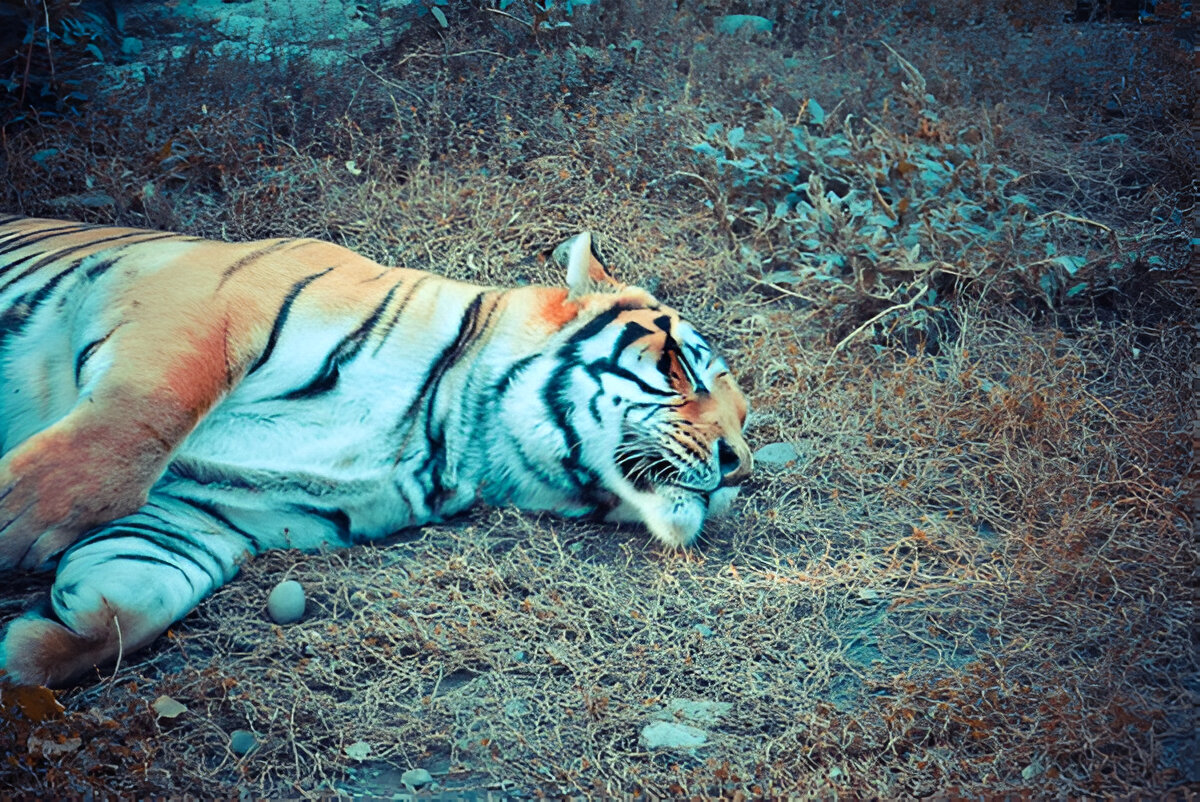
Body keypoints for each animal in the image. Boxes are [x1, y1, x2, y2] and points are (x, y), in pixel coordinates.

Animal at [0, 216, 752, 687]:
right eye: (680, 366)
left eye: (745, 417)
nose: (739, 466)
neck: (454, 437)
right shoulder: (209, 306)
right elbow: (138, 419)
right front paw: (17, 519)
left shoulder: (204, 512)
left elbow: (134, 595)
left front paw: (34, 644)